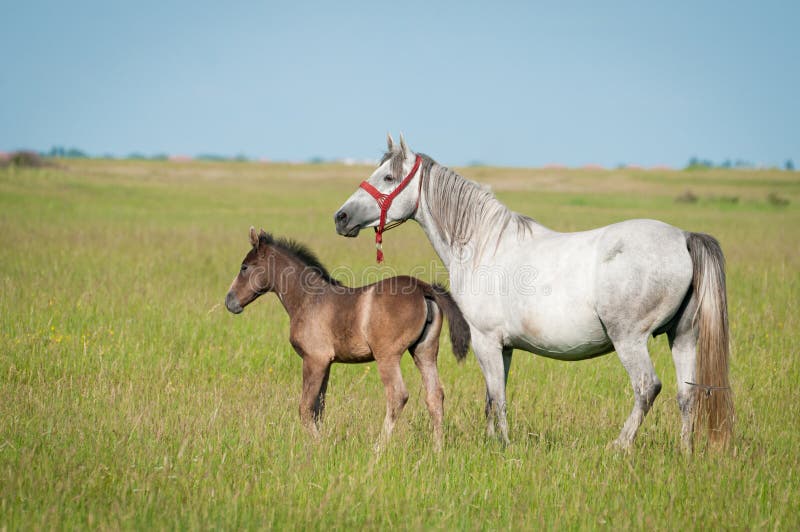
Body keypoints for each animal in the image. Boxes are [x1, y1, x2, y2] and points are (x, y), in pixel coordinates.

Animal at [225, 227, 470, 449]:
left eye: (244, 267)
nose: (230, 302)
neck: (309, 299)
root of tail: (423, 288)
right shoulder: (326, 363)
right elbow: (319, 408)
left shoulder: (314, 359)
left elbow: (305, 408)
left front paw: (319, 445)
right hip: (424, 351)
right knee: (435, 396)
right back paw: (437, 450)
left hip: (387, 356)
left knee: (397, 395)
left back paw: (377, 449)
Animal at [333, 134, 733, 452]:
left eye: (388, 177)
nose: (341, 217)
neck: (483, 245)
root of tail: (683, 237)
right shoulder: (505, 347)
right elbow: (493, 397)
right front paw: (493, 442)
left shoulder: (486, 341)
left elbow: (497, 397)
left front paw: (503, 447)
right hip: (683, 336)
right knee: (687, 394)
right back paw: (685, 452)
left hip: (630, 340)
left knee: (647, 388)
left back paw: (618, 446)